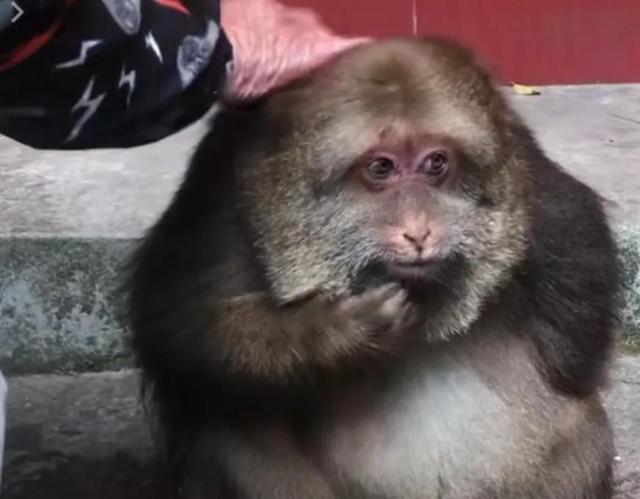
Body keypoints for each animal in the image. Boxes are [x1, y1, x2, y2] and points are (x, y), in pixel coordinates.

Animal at [127, 37, 621, 499]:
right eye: (380, 168)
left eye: (436, 162)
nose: (418, 231)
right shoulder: (221, 191)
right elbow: (178, 324)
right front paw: (334, 334)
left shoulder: (531, 179)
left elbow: (580, 329)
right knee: (230, 427)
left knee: (579, 424)